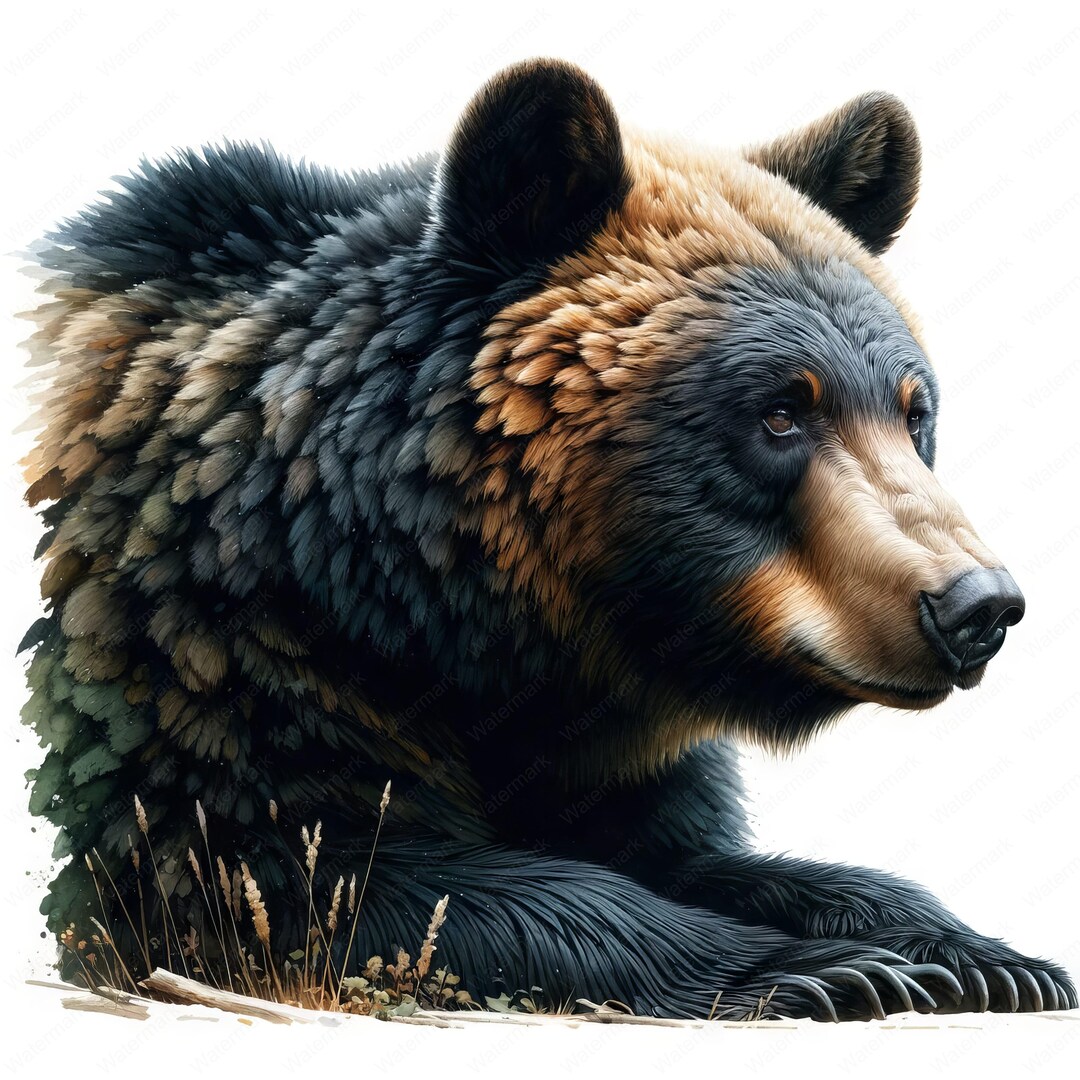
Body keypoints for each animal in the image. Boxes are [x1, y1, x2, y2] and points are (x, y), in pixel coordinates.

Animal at [20, 57, 1074, 1020]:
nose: (978, 604)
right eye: (781, 412)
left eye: (913, 409)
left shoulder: (598, 746)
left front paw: (979, 954)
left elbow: (680, 851)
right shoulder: (205, 670)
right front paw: (824, 970)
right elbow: (318, 876)